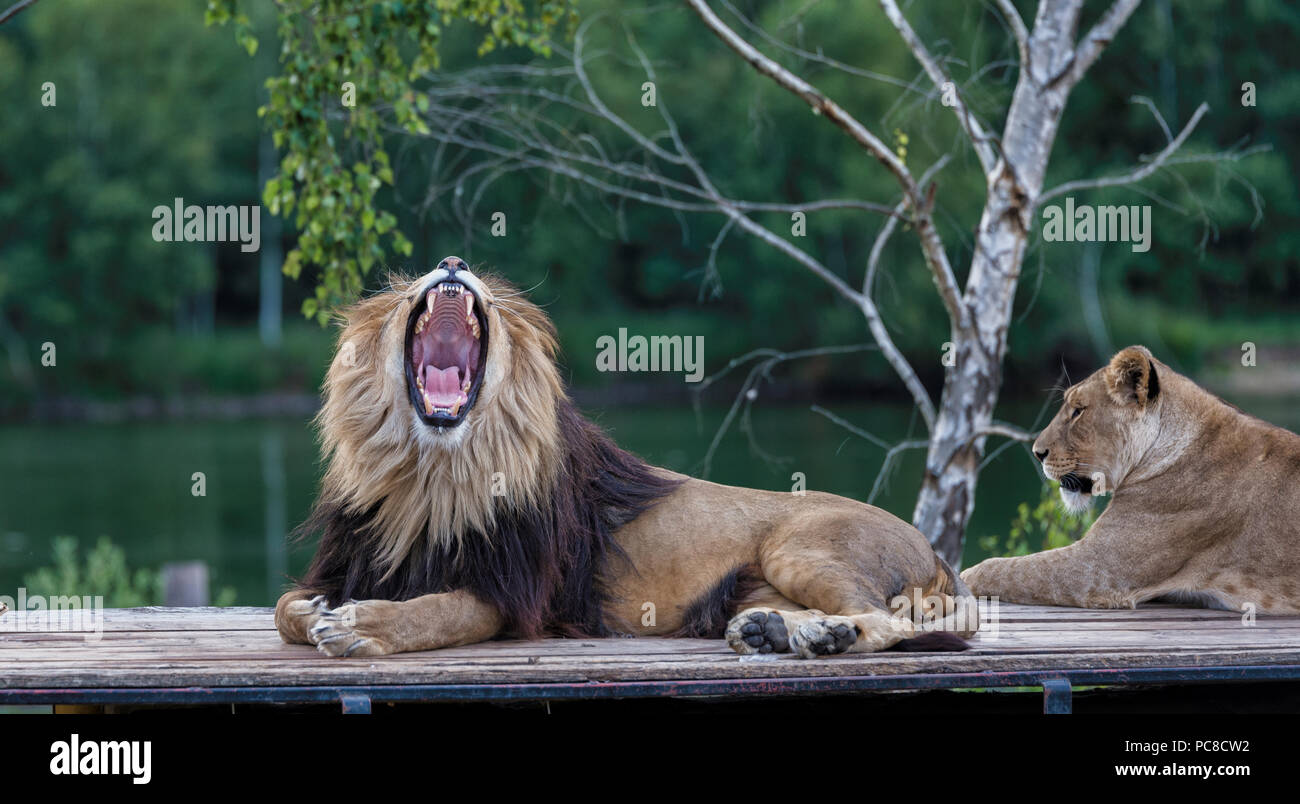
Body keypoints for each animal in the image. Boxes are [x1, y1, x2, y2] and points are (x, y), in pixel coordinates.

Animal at [274, 256, 977, 659]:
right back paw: (778, 632)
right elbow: (284, 610)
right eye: (404, 294)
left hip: (799, 547)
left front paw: (360, 627)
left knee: (886, 620)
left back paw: (829, 638)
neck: (430, 473)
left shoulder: (517, 597)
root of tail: (934, 551)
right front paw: (315, 612)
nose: (451, 261)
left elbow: (433, 612)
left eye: (491, 301)